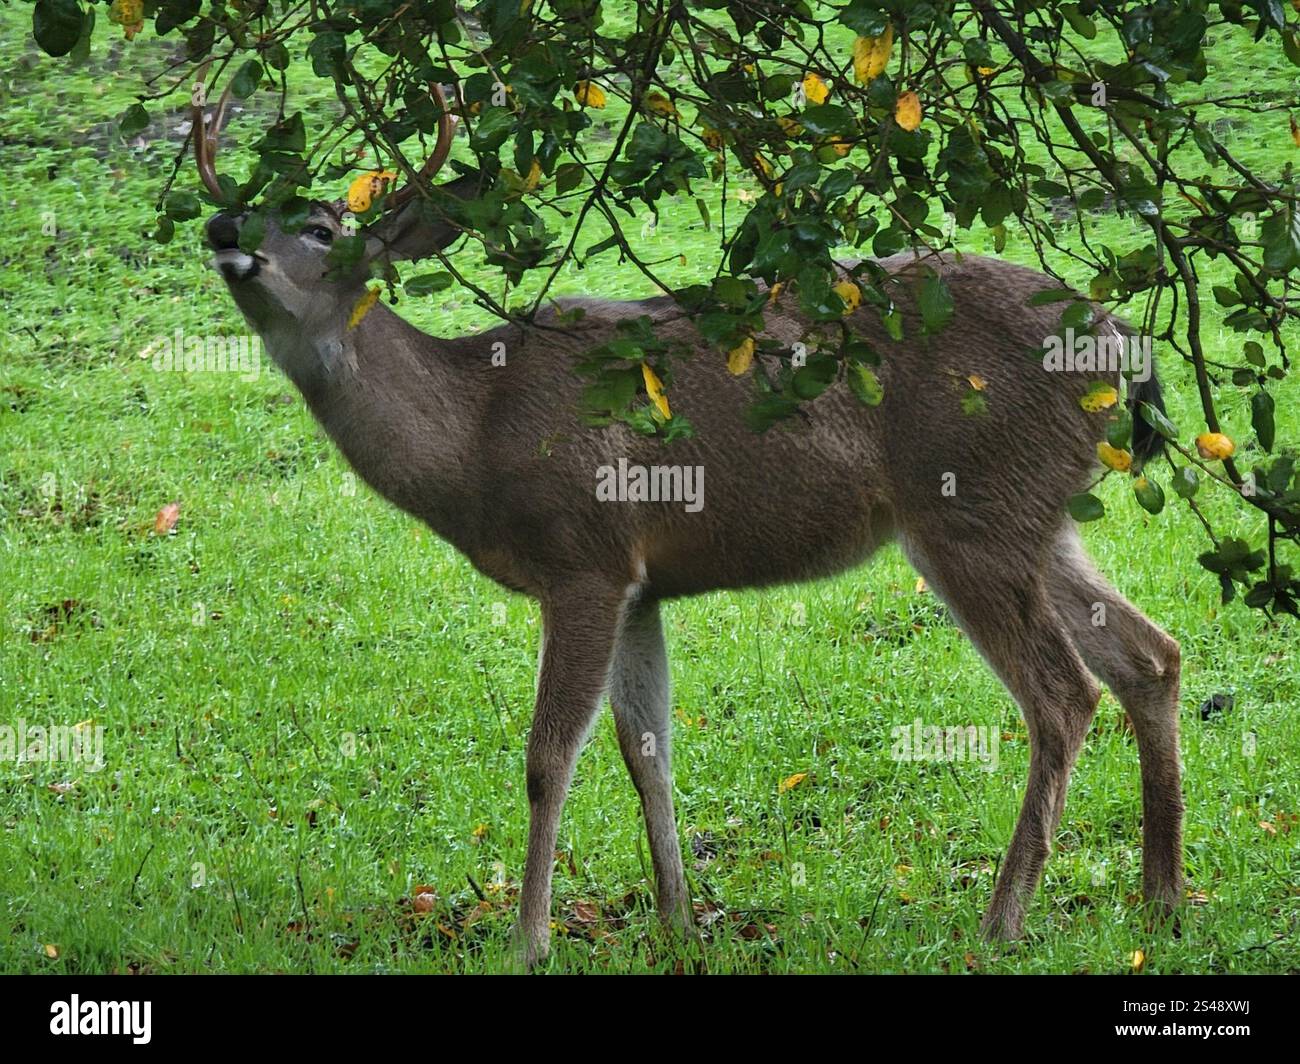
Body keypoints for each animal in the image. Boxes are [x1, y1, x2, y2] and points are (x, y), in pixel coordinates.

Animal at [192, 82, 1184, 969]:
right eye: (241, 202)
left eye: (320, 228)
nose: (223, 232)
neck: (474, 433)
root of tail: (1120, 345)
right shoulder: (642, 585)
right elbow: (648, 749)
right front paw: (676, 922)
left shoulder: (583, 555)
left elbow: (549, 756)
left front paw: (529, 940)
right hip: (1038, 515)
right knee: (1151, 655)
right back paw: (1161, 900)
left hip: (969, 508)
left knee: (1063, 693)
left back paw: (1004, 921)